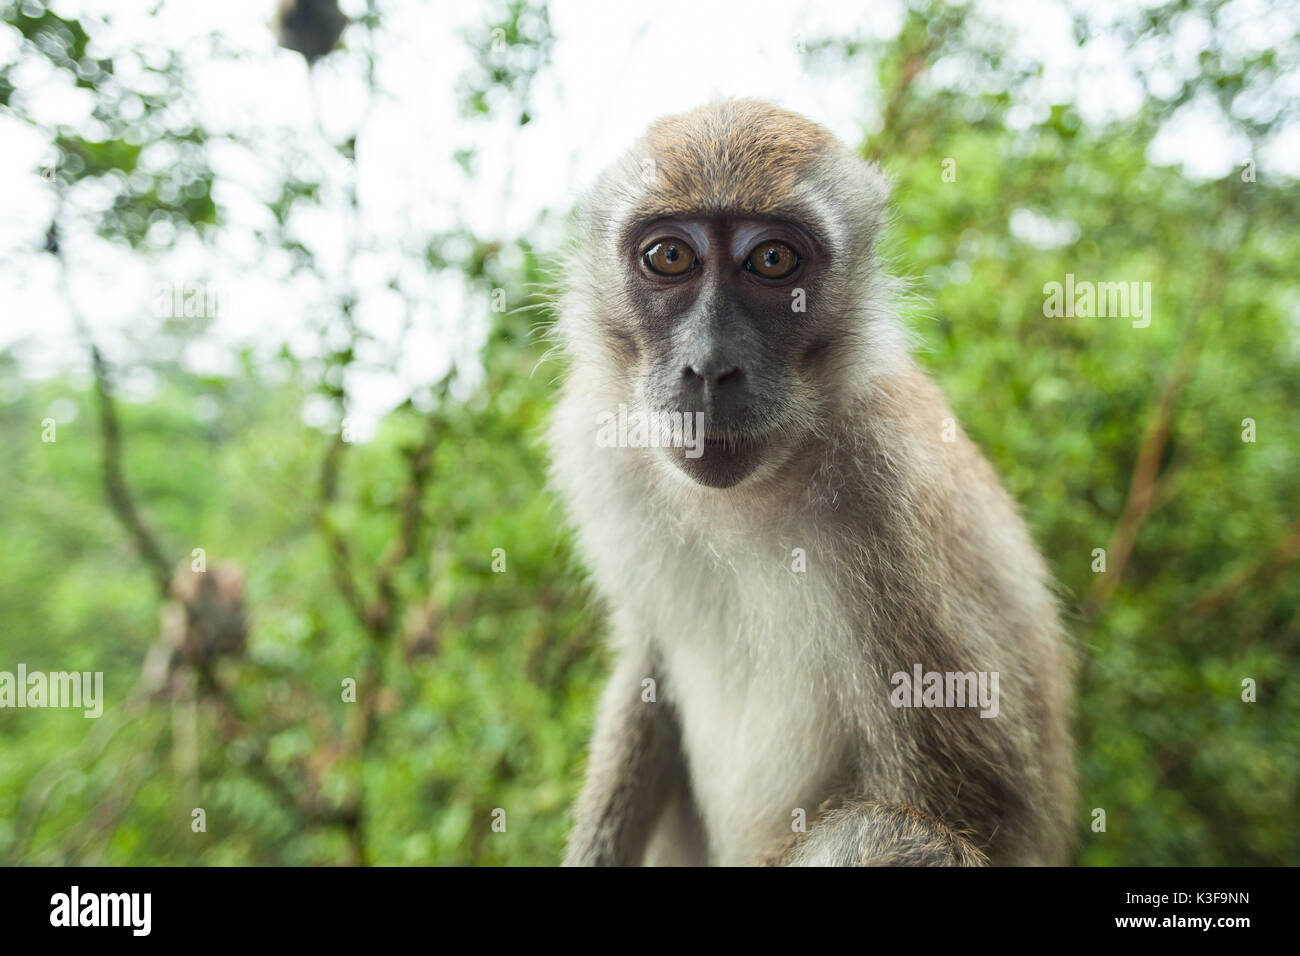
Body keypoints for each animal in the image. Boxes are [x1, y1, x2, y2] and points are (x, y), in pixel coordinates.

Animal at [548, 99, 1075, 866]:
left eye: (773, 260)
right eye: (670, 256)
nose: (710, 368)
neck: (750, 492)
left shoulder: (890, 489)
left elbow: (983, 805)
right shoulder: (600, 450)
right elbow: (646, 666)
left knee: (887, 834)